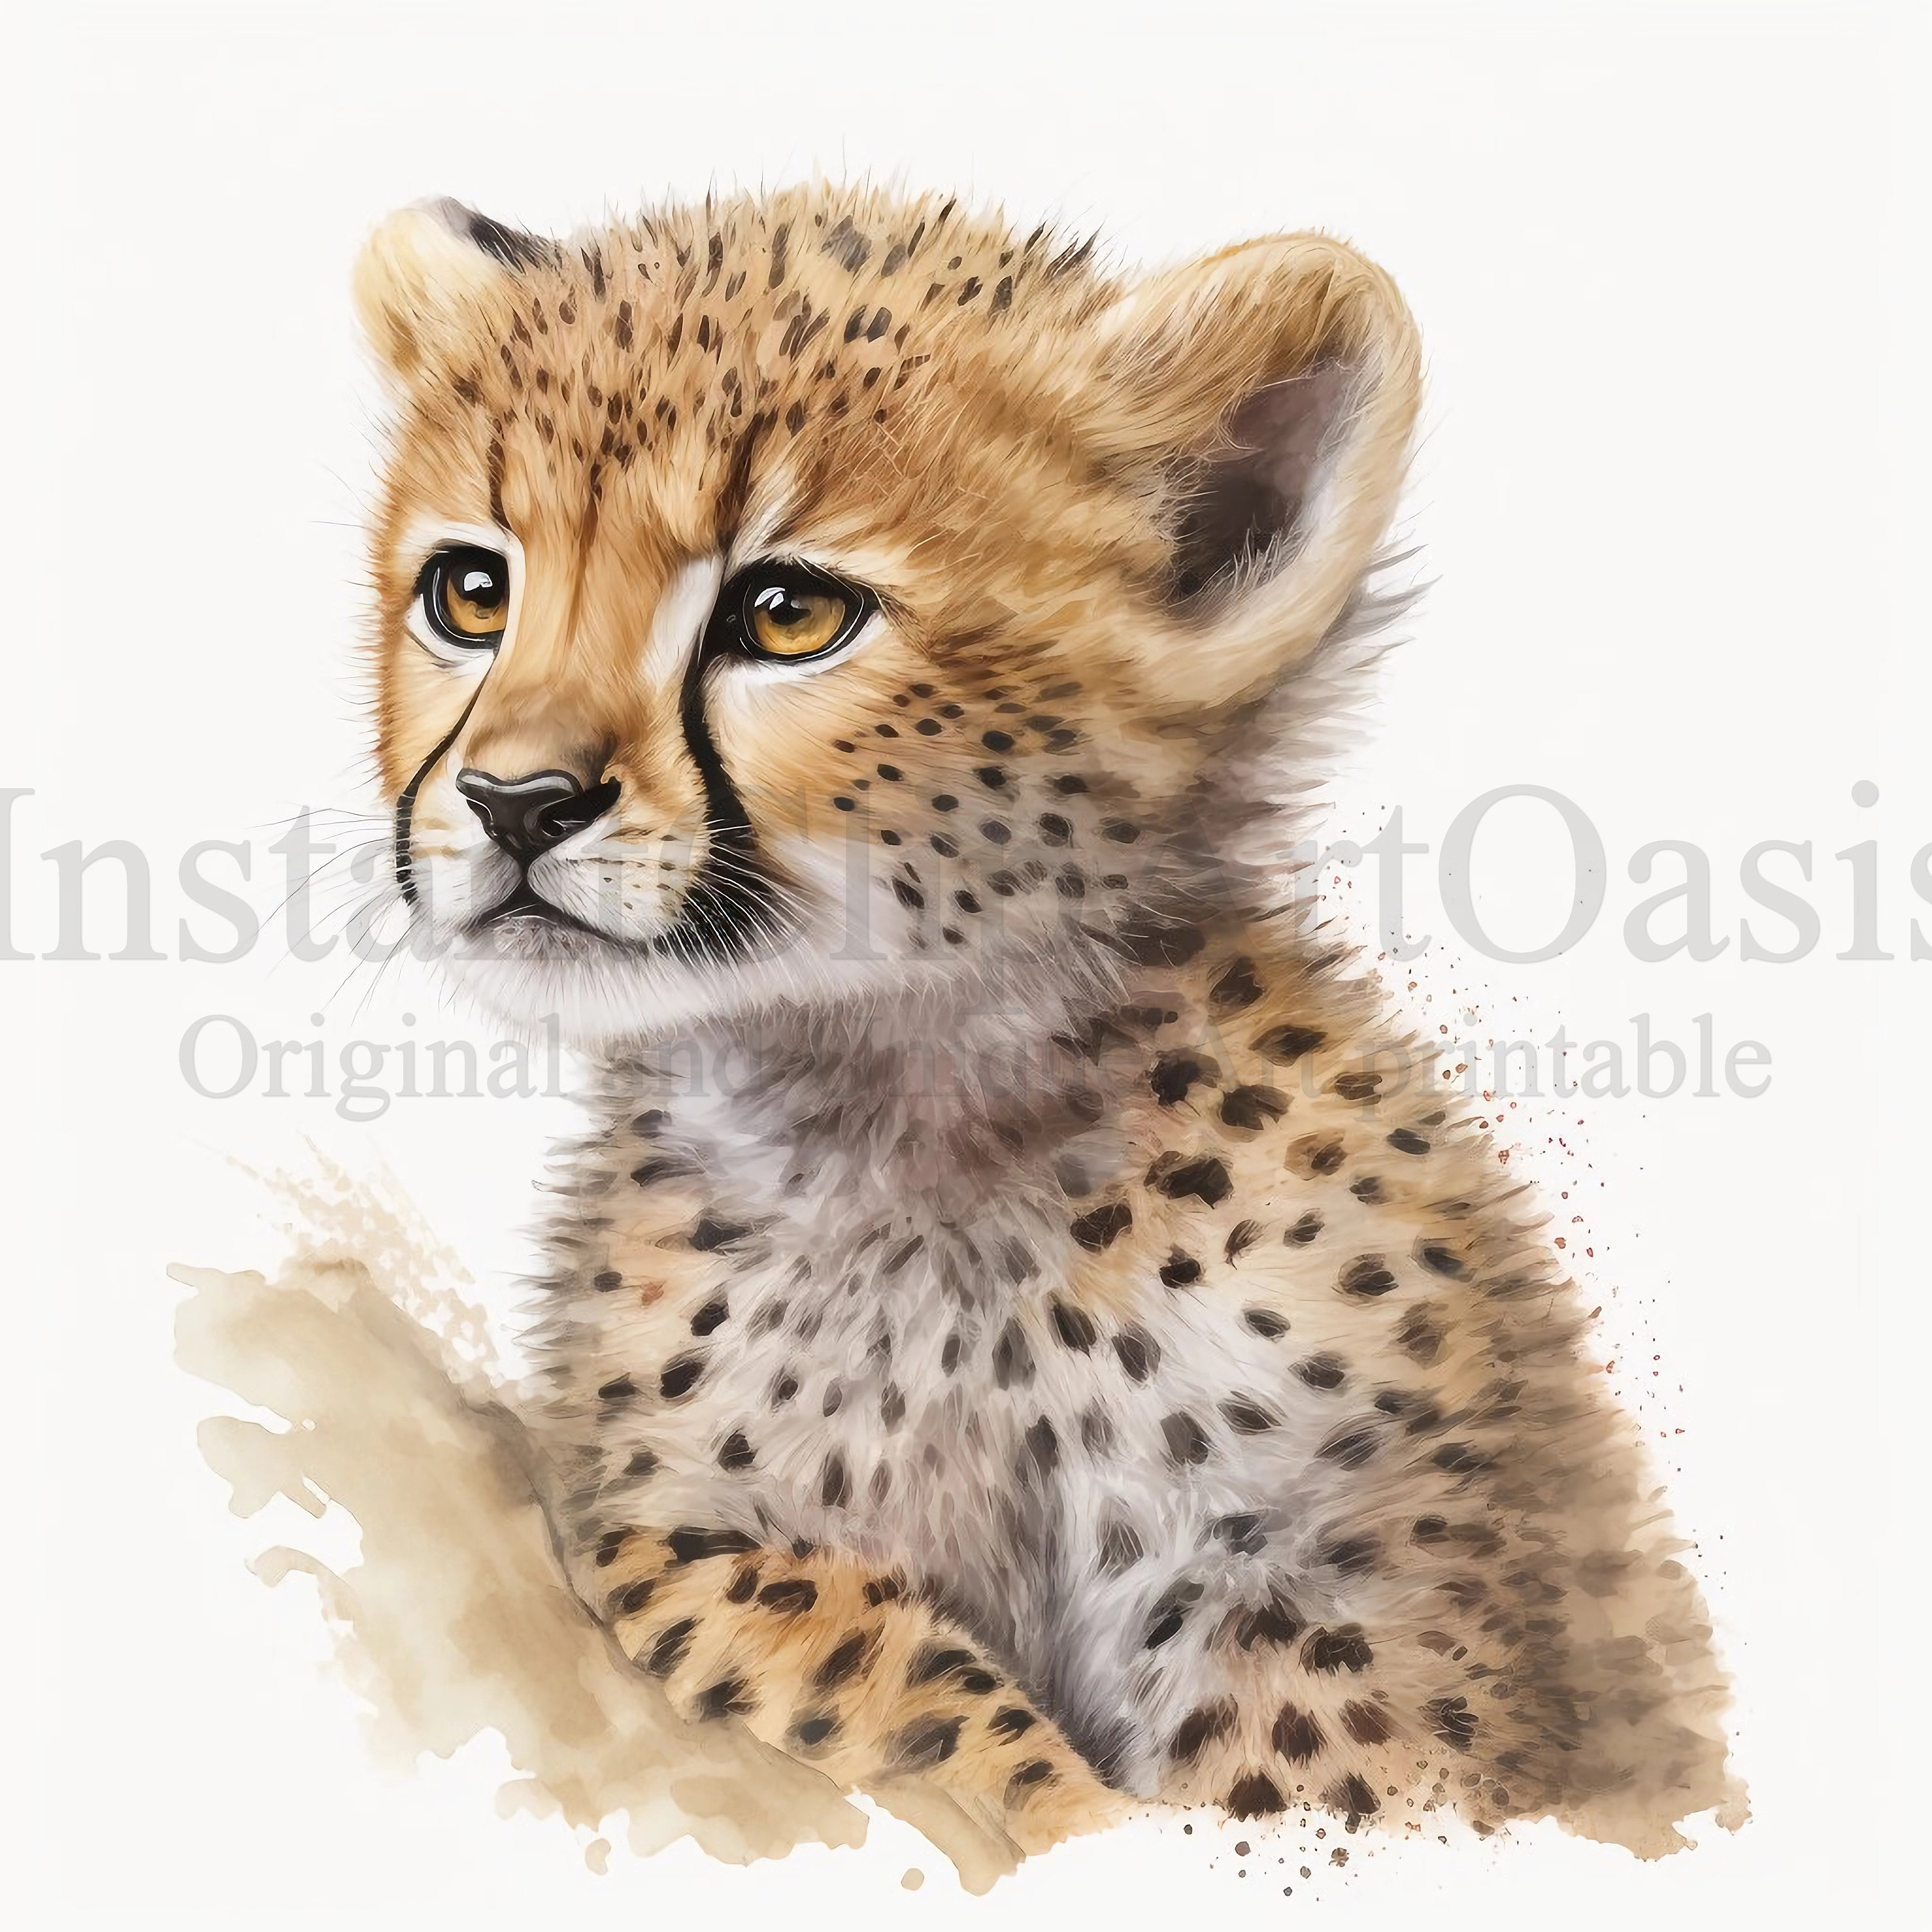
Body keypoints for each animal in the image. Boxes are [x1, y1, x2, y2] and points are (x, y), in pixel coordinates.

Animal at [353, 184, 1736, 1860]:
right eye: (471, 592)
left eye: (788, 613)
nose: (515, 801)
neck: (907, 1111)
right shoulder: (682, 1533)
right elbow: (892, 1684)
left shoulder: (1326, 1570)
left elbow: (1298, 1777)